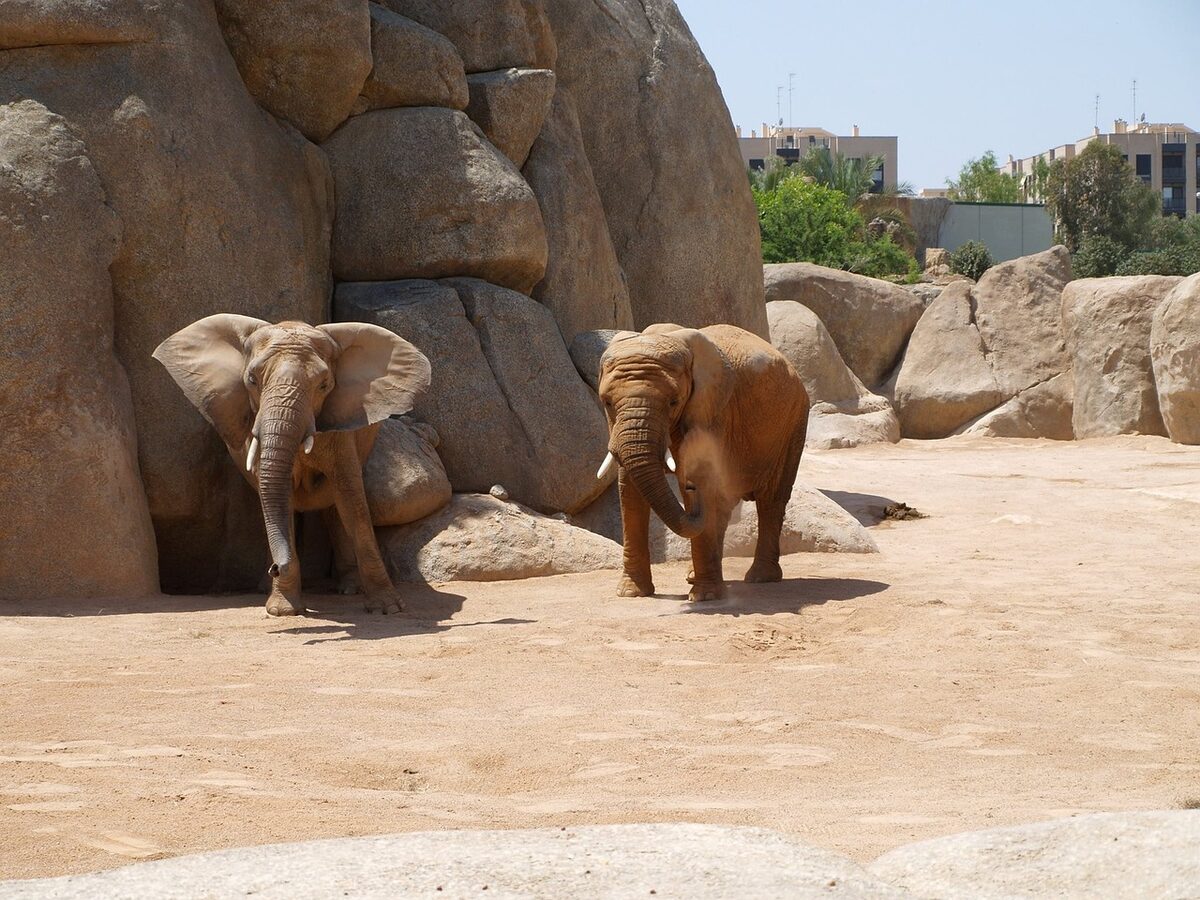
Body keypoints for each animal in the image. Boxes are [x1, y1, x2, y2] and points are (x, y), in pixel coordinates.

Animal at [153, 315, 431, 617]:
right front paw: (282, 610)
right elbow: (281, 499)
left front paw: (387, 609)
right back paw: (267, 586)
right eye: (251, 380)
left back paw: (349, 588)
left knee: (334, 505)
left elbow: (351, 500)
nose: (277, 567)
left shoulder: (339, 423)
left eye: (324, 385)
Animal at [596, 323, 810, 602]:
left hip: (793, 423)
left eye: (673, 402)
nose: (688, 487)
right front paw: (631, 593)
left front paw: (704, 597)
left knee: (771, 500)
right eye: (607, 402)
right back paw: (692, 575)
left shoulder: (713, 413)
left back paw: (759, 577)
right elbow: (630, 491)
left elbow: (706, 480)